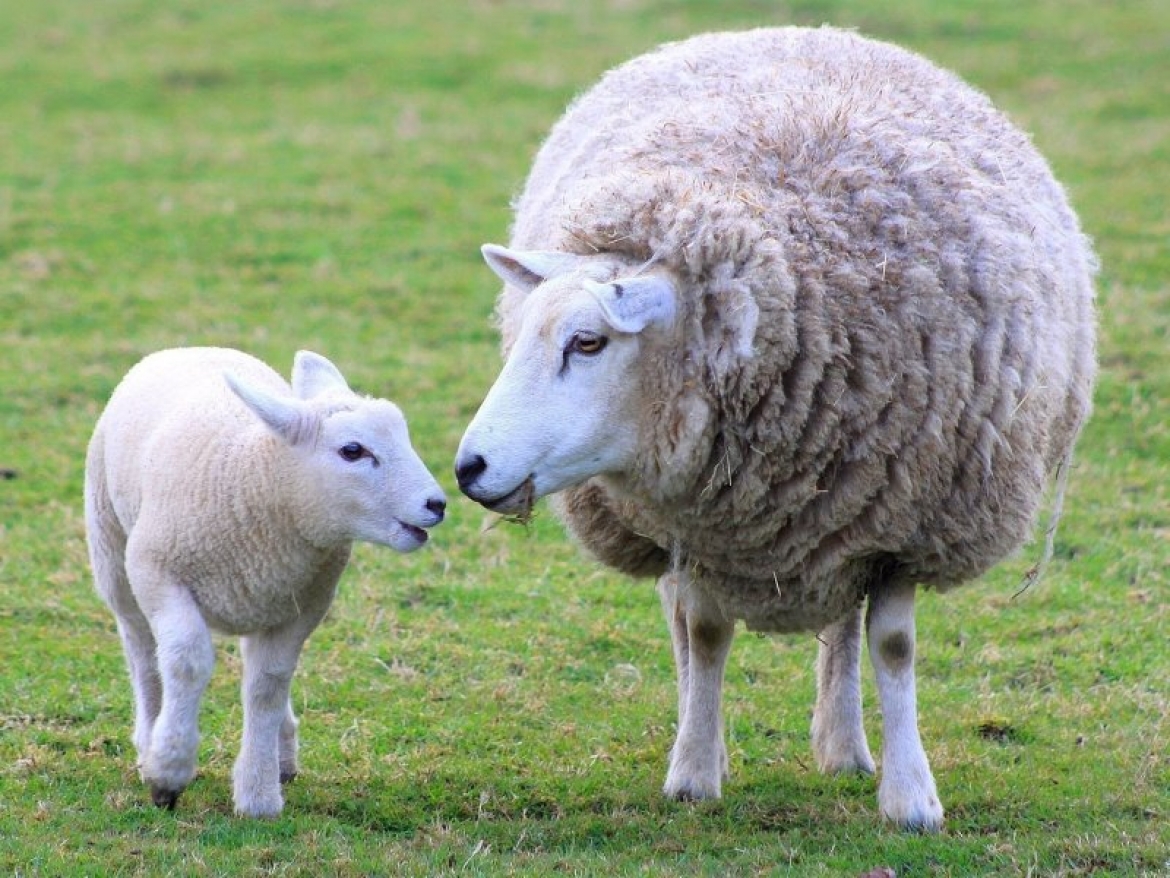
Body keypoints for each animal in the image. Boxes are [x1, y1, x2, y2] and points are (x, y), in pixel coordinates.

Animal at [85, 347, 446, 817]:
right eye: (352, 450)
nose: (436, 504)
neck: (258, 479)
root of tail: (193, 347)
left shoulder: (305, 603)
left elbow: (267, 685)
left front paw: (258, 794)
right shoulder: (158, 572)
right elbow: (186, 661)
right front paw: (168, 771)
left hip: (261, 596)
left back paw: (283, 754)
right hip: (113, 551)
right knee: (143, 653)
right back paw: (149, 741)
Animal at [455, 26, 1097, 830]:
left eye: (588, 342)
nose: (469, 468)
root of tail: (803, 30)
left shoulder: (905, 520)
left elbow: (892, 646)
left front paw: (911, 797)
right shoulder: (702, 524)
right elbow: (703, 632)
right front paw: (695, 772)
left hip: (851, 518)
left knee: (843, 627)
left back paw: (846, 748)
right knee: (686, 625)